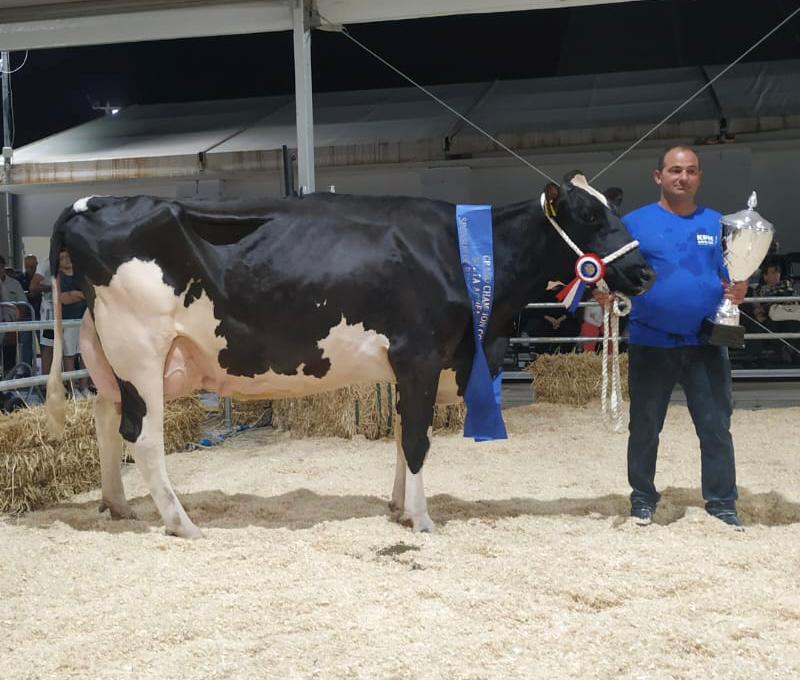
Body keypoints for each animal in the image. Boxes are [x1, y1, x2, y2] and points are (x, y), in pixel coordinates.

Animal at [45, 172, 654, 538]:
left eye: (616, 213)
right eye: (590, 218)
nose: (645, 272)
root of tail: (94, 200)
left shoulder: (415, 367)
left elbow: (405, 433)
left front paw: (398, 505)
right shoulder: (420, 354)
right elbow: (418, 438)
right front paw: (422, 519)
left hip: (108, 352)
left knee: (103, 418)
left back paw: (119, 506)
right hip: (141, 349)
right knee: (142, 436)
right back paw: (182, 523)